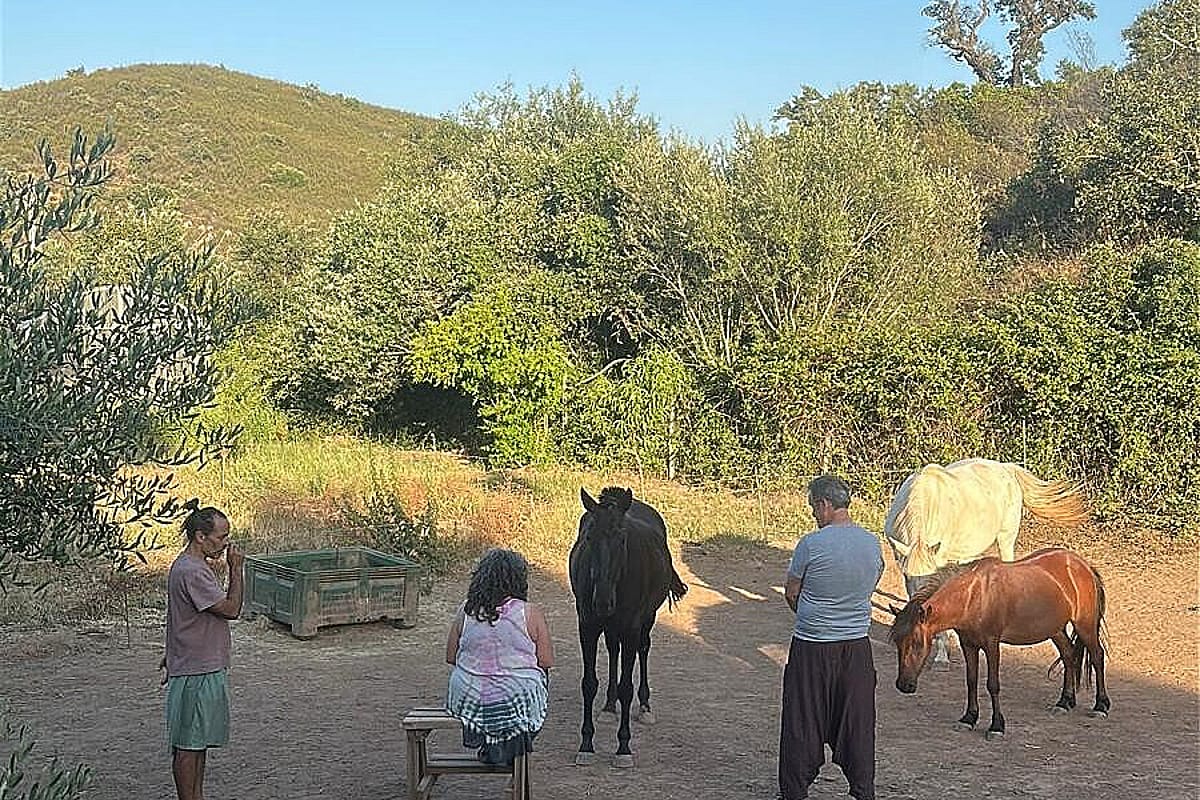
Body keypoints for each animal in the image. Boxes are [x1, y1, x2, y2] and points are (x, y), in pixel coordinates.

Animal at [569, 486, 687, 768]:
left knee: (643, 650)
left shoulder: (631, 629)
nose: (602, 601)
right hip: (611, 627)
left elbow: (626, 687)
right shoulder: (587, 627)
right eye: (588, 536)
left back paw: (645, 707)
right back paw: (609, 706)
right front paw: (586, 745)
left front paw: (623, 748)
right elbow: (589, 684)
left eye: (622, 539)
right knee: (614, 651)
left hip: (645, 620)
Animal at [888, 547, 1110, 740]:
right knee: (1069, 656)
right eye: (897, 642)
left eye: (917, 642)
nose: (903, 685)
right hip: (1055, 630)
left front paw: (997, 726)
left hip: (1084, 625)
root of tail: (1082, 565)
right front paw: (969, 718)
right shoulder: (968, 644)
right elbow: (971, 680)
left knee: (1097, 656)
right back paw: (1064, 702)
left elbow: (992, 684)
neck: (973, 596)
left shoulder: (991, 644)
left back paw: (1101, 706)